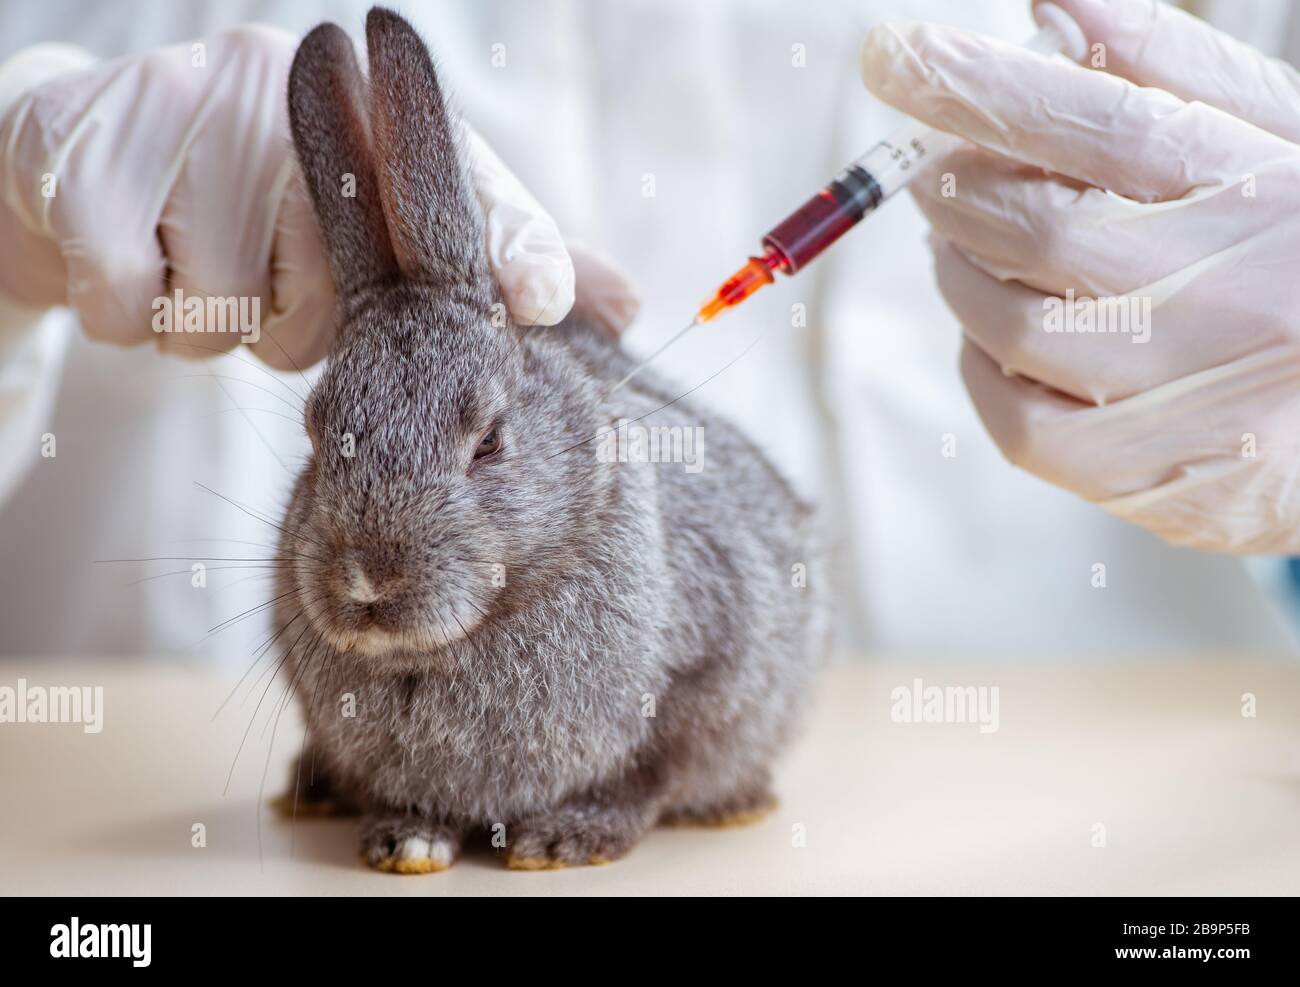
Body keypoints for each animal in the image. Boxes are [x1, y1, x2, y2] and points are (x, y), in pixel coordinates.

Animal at [273, 6, 827, 873]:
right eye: (317, 433)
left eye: (489, 441)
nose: (366, 580)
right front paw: (407, 839)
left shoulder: (715, 668)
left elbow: (656, 768)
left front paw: (568, 836)